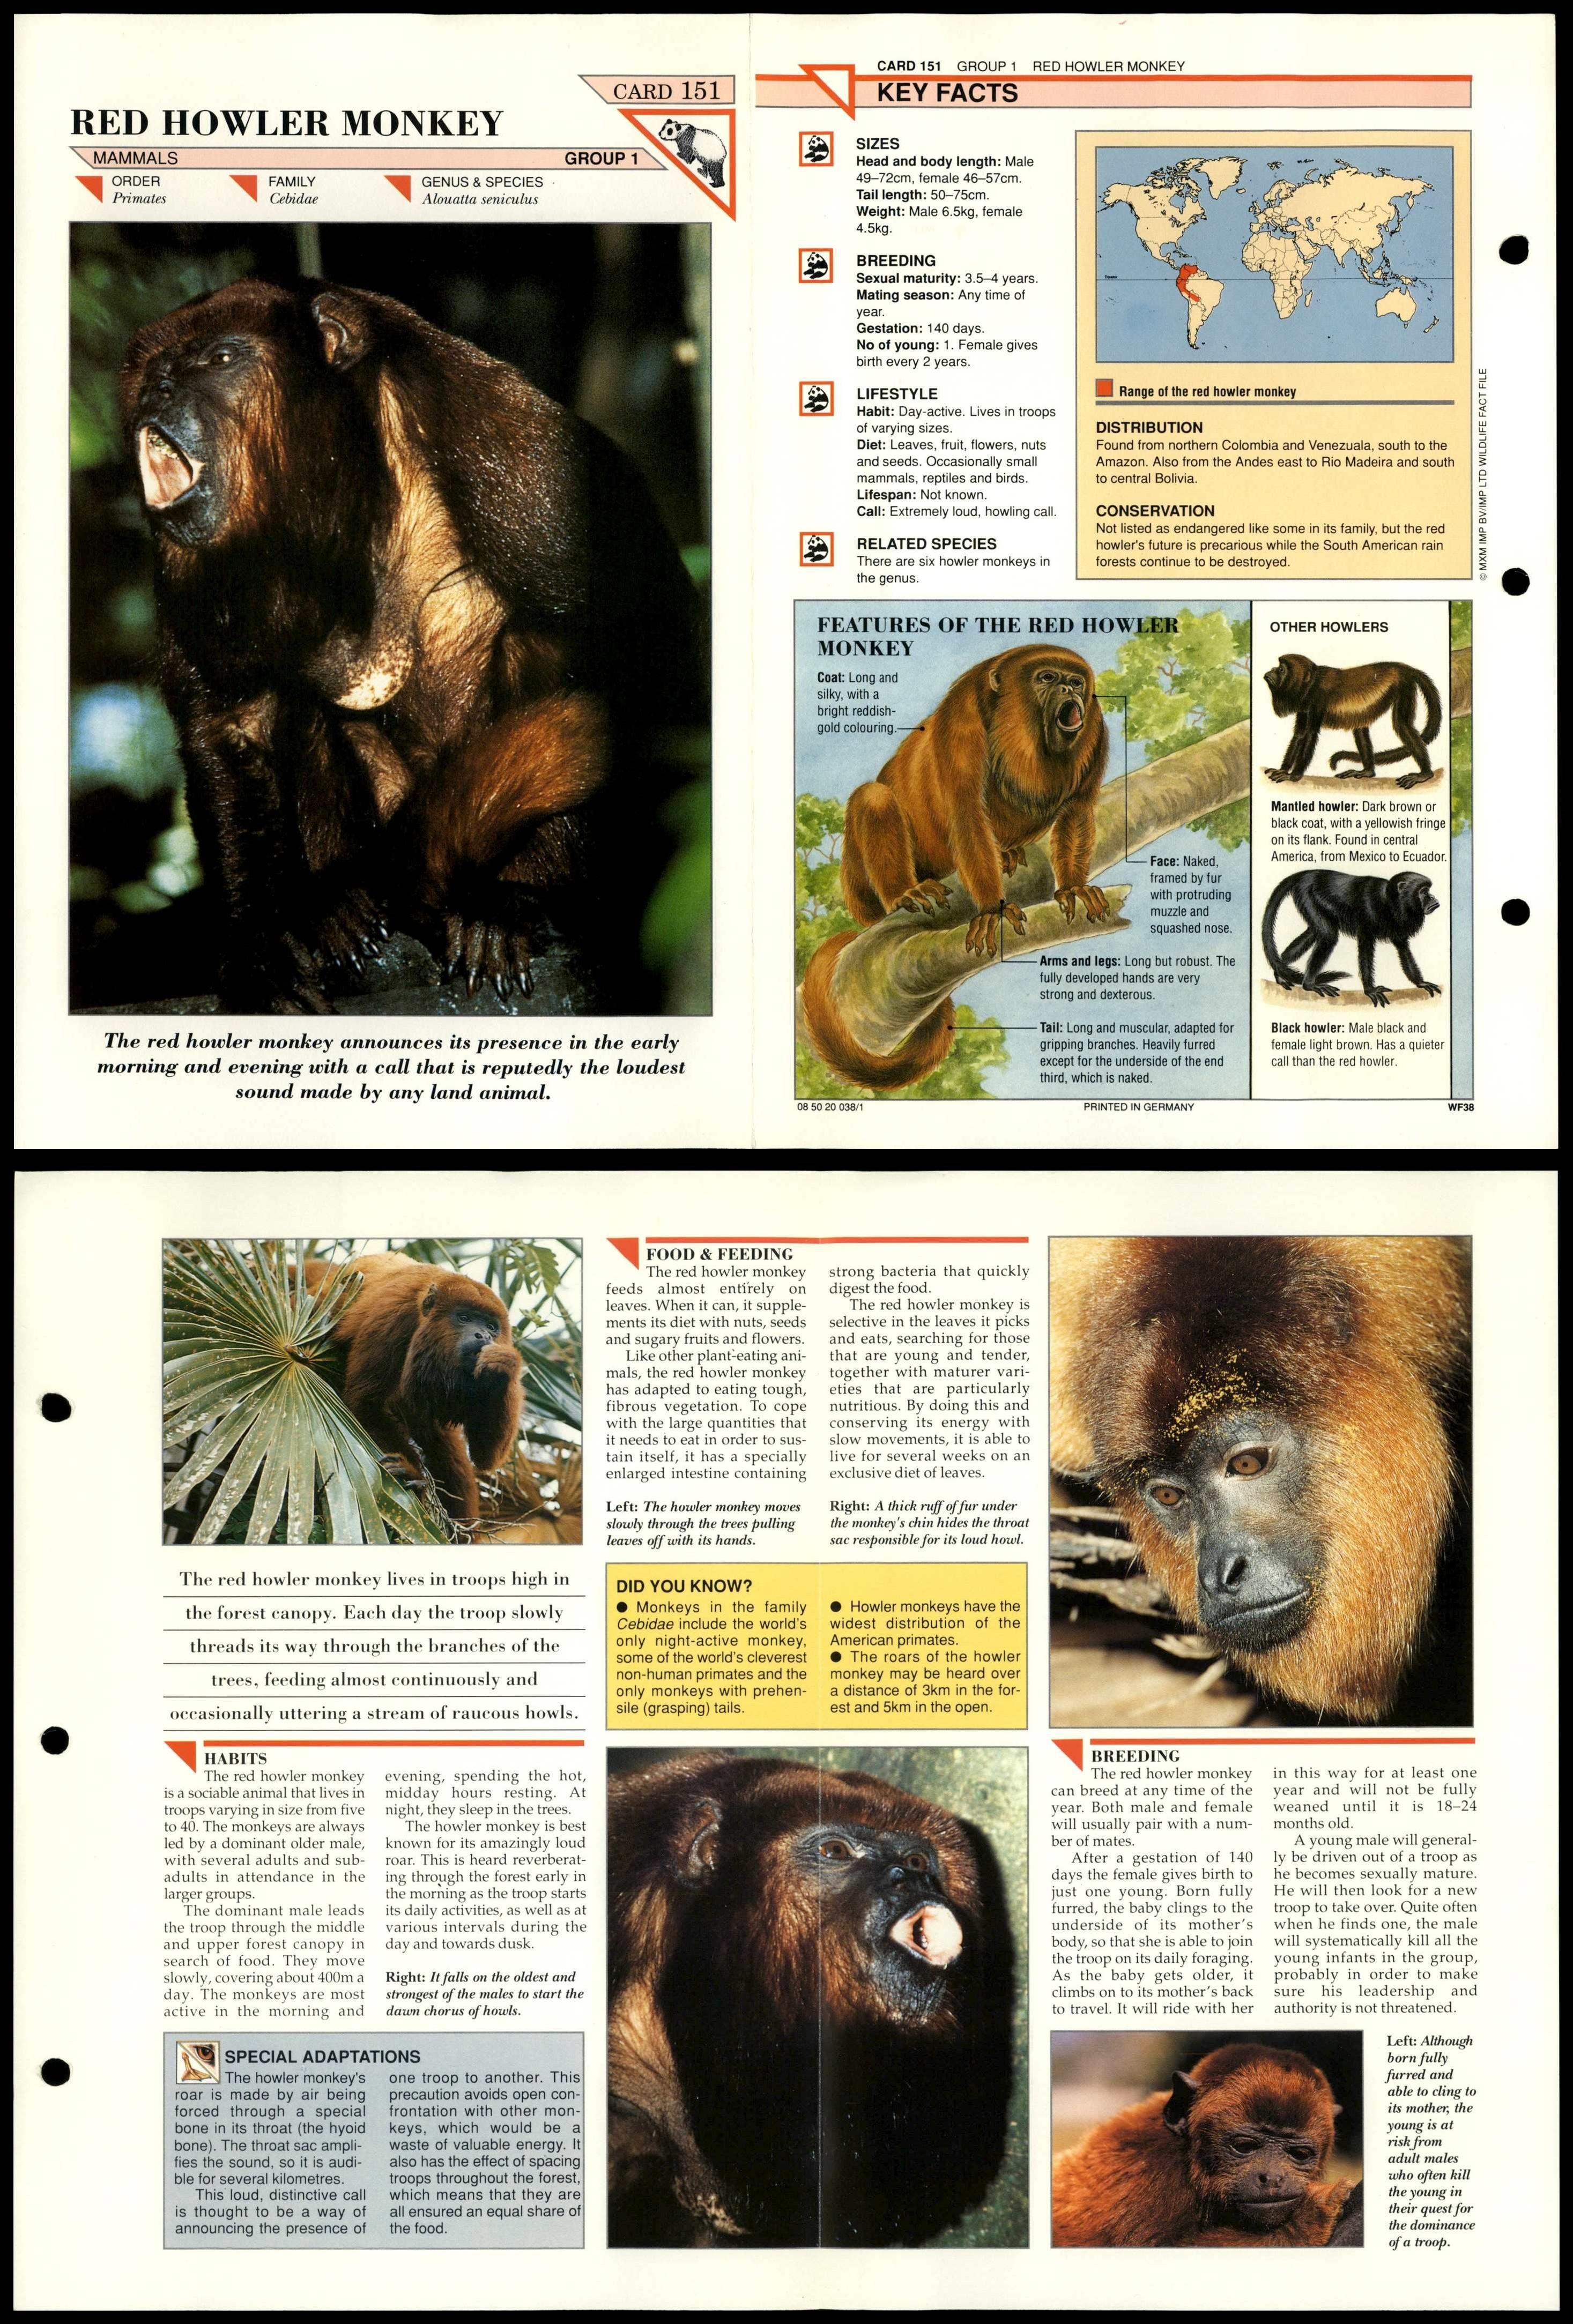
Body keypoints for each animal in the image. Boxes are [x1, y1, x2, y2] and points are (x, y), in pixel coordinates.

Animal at [121, 276, 702, 1011]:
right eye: (150, 374)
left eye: (221, 358)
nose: (159, 390)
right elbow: (232, 727)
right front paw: (259, 950)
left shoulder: (517, 450)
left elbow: (627, 658)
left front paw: (518, 899)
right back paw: (335, 908)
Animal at [304, 1253, 523, 1529]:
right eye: (464, 1318)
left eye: (492, 1327)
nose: (483, 1335)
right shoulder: (394, 1318)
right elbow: (365, 1401)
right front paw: (412, 1471)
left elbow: (485, 1456)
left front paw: (502, 1367)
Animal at [1261, 655, 1443, 787]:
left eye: (1281, 669)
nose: (1272, 669)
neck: (1311, 684)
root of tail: (1405, 668)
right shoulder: (1304, 704)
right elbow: (1300, 735)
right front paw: (1283, 769)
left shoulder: (1318, 699)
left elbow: (1310, 736)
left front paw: (1294, 776)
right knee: (1360, 728)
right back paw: (1367, 772)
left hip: (1403, 684)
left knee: (1402, 724)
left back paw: (1425, 775)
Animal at [1261, 867, 1442, 1007]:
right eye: (1424, 892)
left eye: (1428, 891)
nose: (1433, 898)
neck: (1390, 903)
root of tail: (1306, 874)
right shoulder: (1369, 913)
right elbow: (1365, 949)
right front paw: (1370, 991)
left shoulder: (1400, 926)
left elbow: (1403, 949)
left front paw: (1421, 983)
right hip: (1307, 894)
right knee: (1328, 936)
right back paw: (1309, 985)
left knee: (1315, 933)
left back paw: (1281, 972)